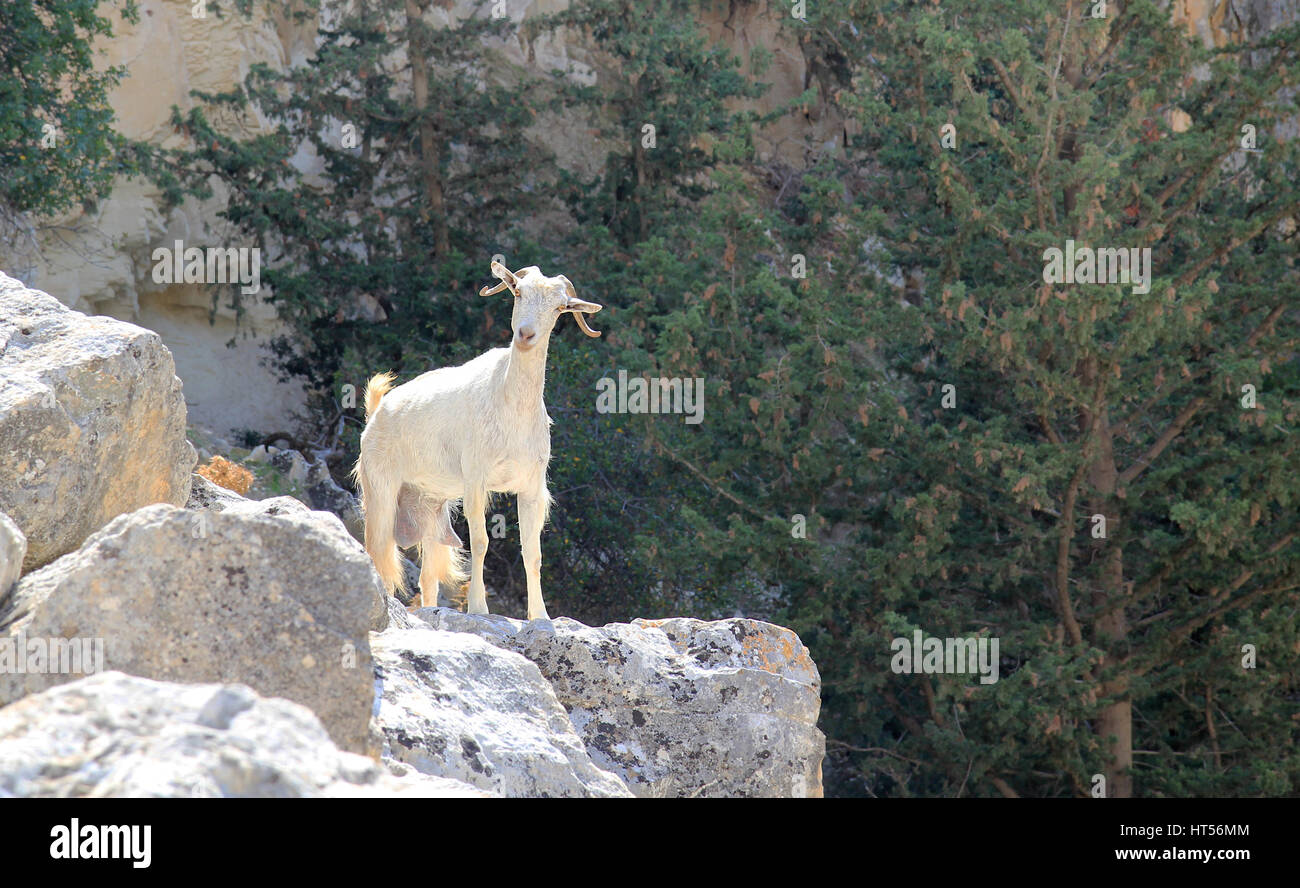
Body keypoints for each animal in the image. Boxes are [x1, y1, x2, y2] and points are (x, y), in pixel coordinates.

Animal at [352, 261, 603, 620]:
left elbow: (533, 551)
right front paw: (479, 607)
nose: (526, 334)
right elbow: (482, 542)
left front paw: (540, 615)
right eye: (518, 292)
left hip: (429, 509)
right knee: (379, 552)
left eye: (559, 307)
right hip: (381, 492)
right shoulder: (476, 479)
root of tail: (376, 411)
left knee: (427, 576)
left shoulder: (531, 485)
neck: (510, 405)